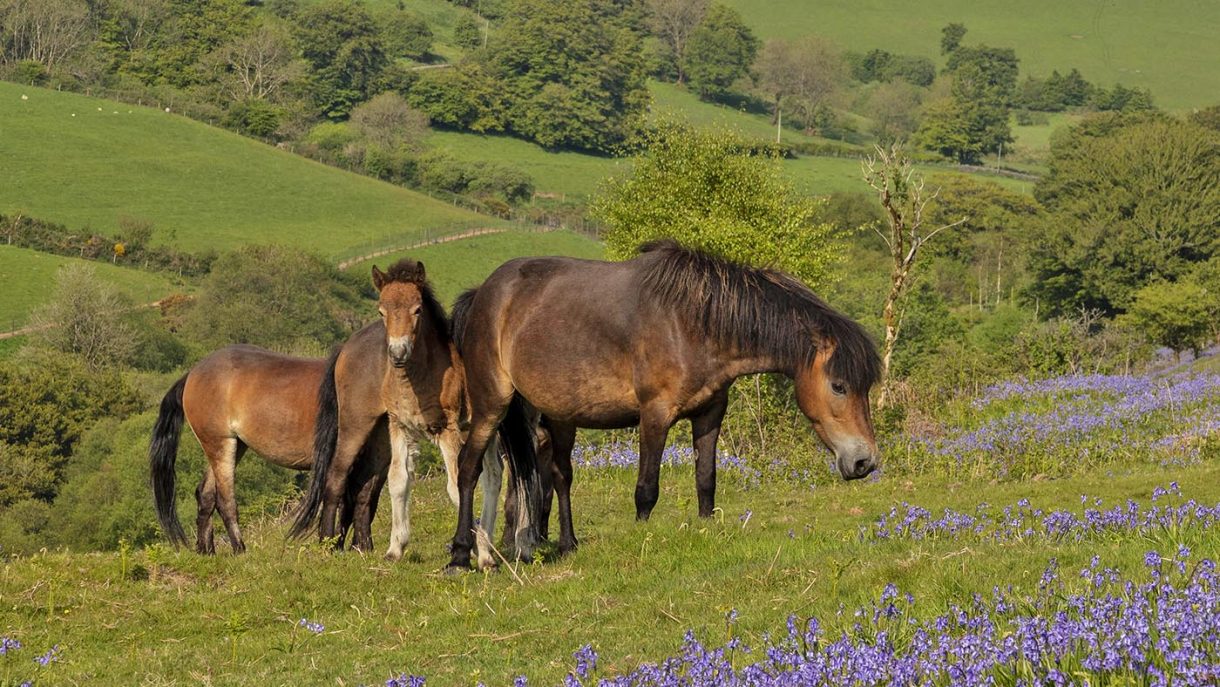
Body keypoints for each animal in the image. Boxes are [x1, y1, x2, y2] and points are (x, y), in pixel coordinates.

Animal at [149, 346, 390, 554]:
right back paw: (239, 549)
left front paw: (358, 546)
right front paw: (341, 545)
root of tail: (193, 373)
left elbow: (367, 499)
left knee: (206, 494)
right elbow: (349, 501)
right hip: (221, 444)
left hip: (232, 446)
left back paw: (206, 550)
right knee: (225, 499)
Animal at [290, 259, 541, 566]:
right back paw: (329, 543)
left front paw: (473, 550)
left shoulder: (448, 429)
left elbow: (454, 486)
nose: (398, 353)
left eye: (417, 309)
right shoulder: (401, 427)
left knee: (493, 476)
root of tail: (346, 347)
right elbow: (400, 481)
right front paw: (396, 549)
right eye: (382, 310)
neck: (427, 372)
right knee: (338, 474)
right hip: (358, 424)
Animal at [443, 239, 882, 571]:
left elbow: (706, 479)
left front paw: (705, 525)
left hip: (558, 415)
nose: (865, 461)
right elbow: (646, 489)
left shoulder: (710, 413)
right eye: (839, 386)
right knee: (468, 469)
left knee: (559, 475)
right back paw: (461, 555)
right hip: (491, 405)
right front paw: (642, 535)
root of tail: (481, 295)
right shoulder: (654, 414)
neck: (692, 322)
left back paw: (566, 544)